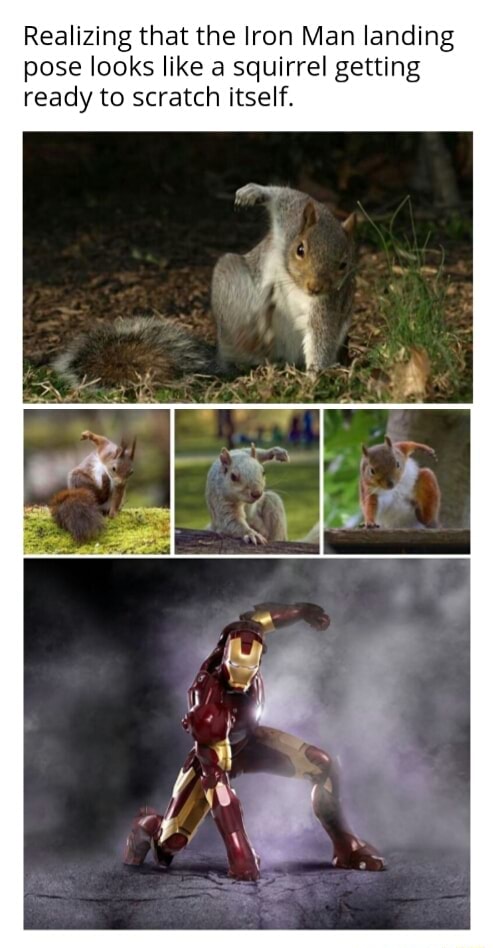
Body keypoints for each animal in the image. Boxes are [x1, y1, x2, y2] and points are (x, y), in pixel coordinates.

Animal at [52, 183, 356, 389]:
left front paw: (315, 376)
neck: (294, 280)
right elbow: (284, 196)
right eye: (300, 249)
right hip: (229, 279)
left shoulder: (328, 303)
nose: (315, 287)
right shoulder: (291, 218)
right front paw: (253, 193)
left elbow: (321, 335)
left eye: (344, 264)